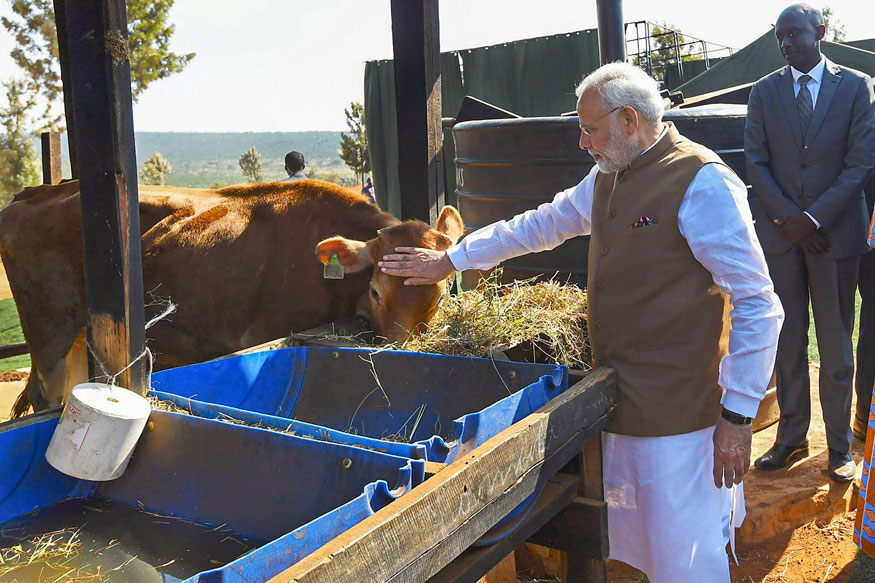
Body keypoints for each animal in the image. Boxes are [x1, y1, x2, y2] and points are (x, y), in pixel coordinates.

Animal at [0, 179, 463, 418]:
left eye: (441, 297)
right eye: (375, 291)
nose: (404, 348)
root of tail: (33, 192)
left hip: (80, 343)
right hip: (50, 340)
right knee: (47, 397)